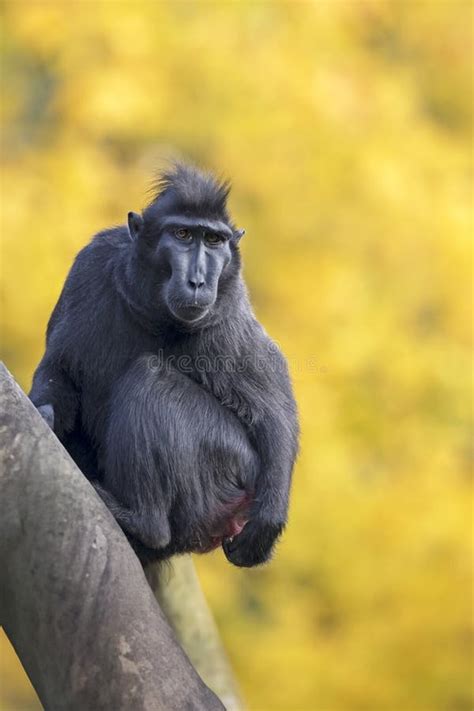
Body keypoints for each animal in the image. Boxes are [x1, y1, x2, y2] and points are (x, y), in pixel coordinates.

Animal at [30, 163, 299, 567]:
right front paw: (43, 411)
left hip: (227, 475)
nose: (198, 281)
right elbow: (59, 370)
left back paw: (145, 522)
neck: (151, 309)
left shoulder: (228, 306)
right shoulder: (89, 266)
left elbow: (273, 407)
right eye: (183, 234)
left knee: (151, 380)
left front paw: (269, 518)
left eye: (214, 241)